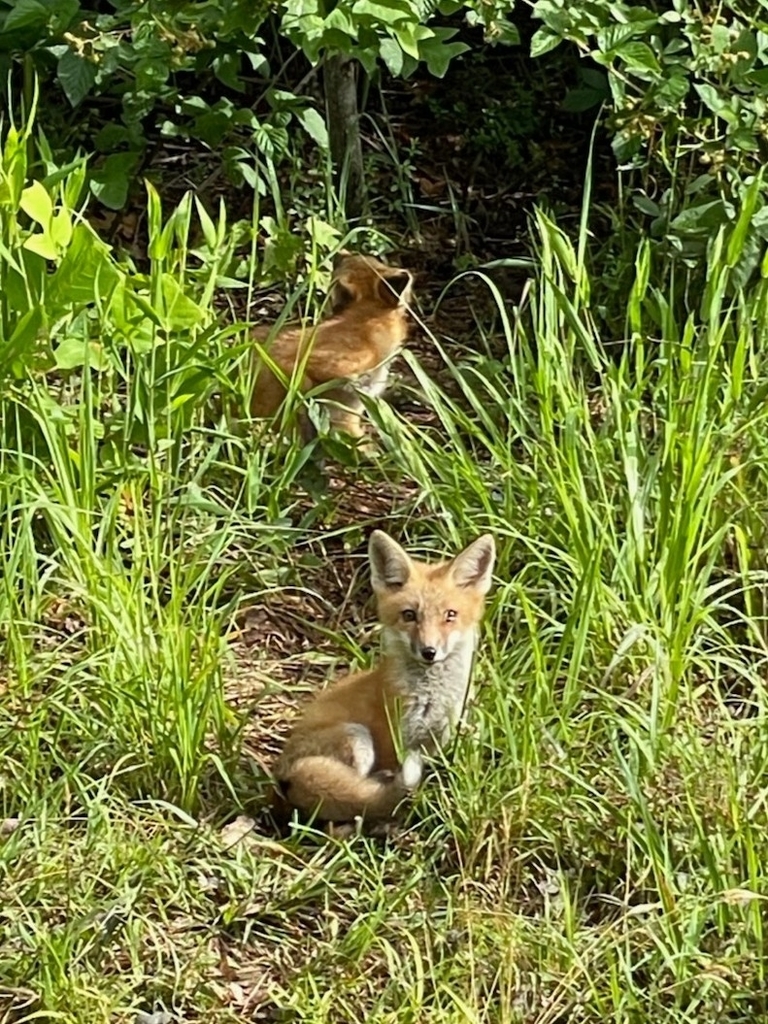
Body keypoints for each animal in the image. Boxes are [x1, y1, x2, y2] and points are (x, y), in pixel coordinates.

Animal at [272, 529, 496, 823]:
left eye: (450, 615)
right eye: (409, 615)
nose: (429, 651)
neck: (431, 697)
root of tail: (282, 779)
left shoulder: (445, 734)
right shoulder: (393, 738)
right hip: (356, 736)